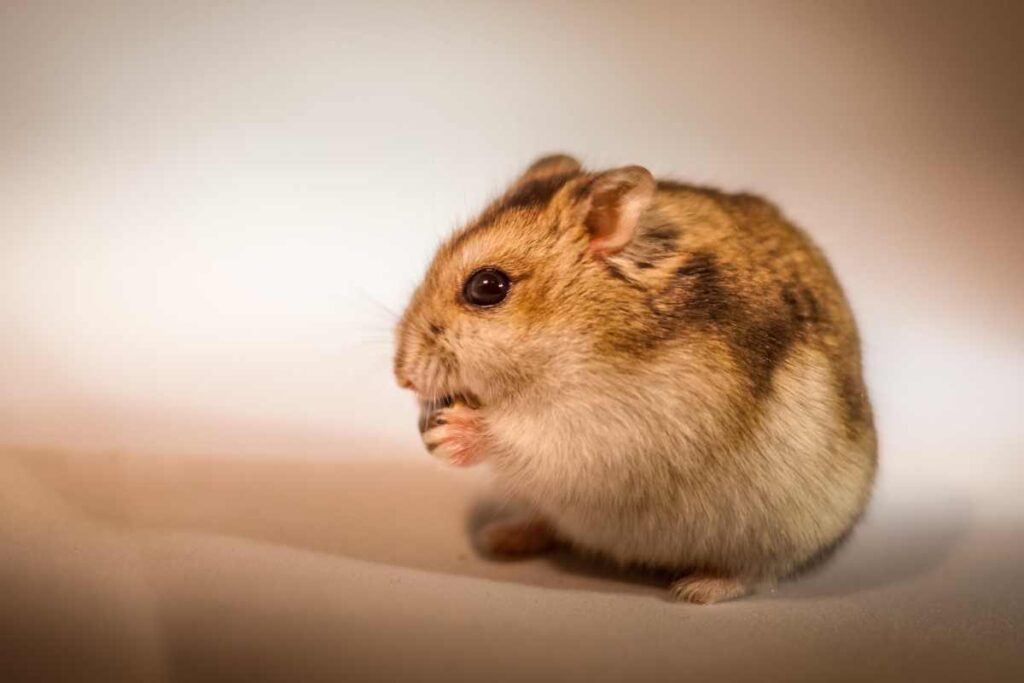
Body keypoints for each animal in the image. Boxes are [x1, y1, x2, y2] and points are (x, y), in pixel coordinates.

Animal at [394, 154, 877, 603]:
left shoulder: (617, 432)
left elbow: (528, 439)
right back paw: (502, 537)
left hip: (785, 528)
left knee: (759, 570)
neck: (573, 335)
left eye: (486, 286)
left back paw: (698, 589)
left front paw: (450, 432)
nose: (401, 377)